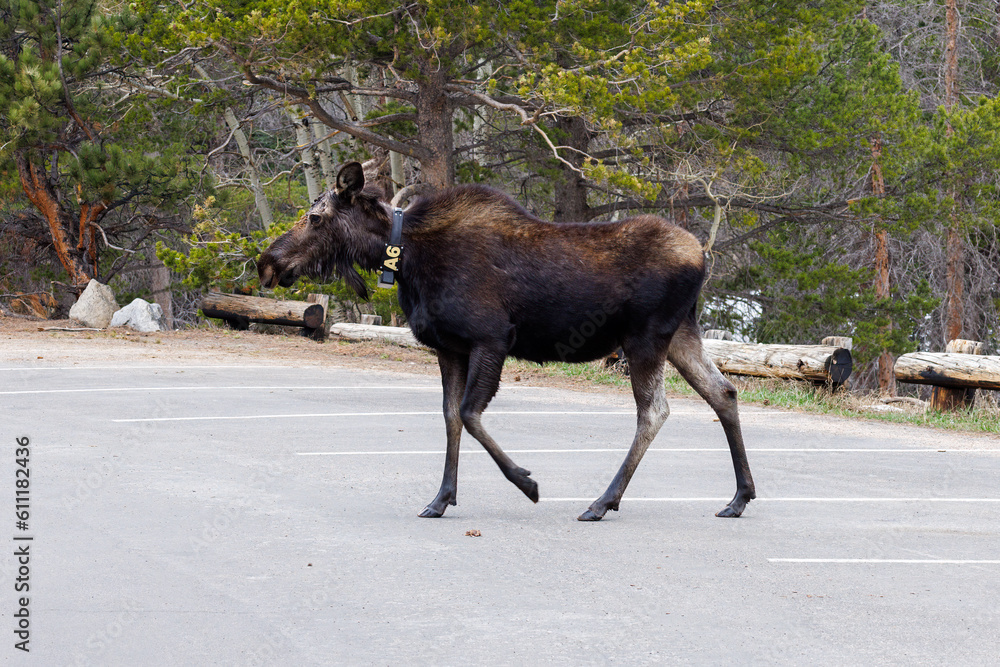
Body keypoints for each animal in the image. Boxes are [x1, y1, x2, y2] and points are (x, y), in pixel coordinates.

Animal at [259, 162, 755, 521]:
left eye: (315, 216)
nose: (267, 263)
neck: (407, 260)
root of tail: (702, 256)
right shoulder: (449, 347)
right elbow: (450, 418)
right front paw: (441, 498)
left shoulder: (491, 338)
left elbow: (468, 413)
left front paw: (527, 483)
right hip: (681, 333)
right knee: (724, 391)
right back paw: (739, 497)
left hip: (645, 337)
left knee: (655, 411)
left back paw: (602, 501)